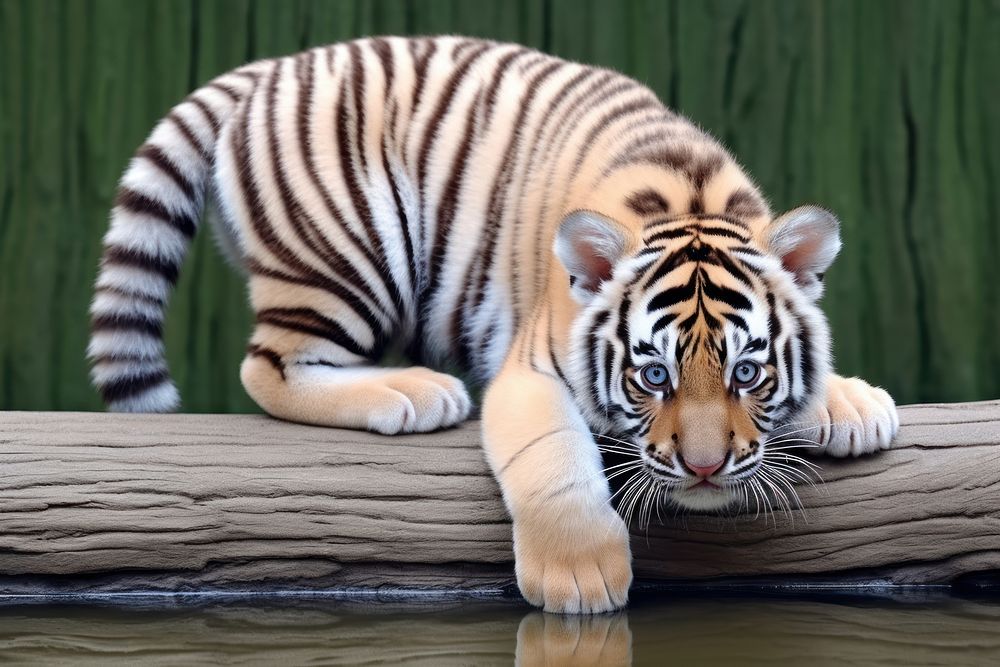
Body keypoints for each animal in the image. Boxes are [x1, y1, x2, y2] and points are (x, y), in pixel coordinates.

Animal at [88, 36, 899, 613]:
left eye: (747, 371)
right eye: (653, 375)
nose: (704, 469)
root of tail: (271, 68)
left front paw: (852, 403)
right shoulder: (532, 370)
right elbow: (554, 462)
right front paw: (581, 580)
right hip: (347, 251)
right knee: (269, 364)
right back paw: (411, 393)